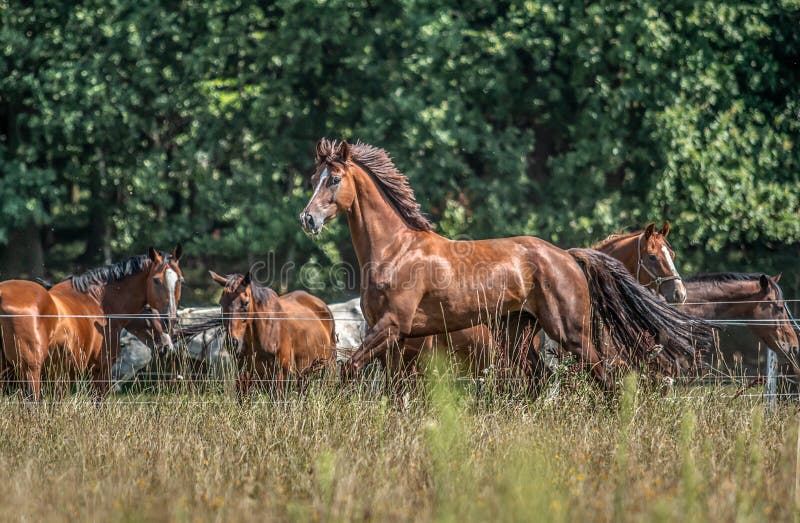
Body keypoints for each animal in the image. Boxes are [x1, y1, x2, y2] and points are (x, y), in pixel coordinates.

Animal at [0, 246, 183, 399]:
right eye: (156, 280)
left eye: (180, 280)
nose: (170, 323)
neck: (97, 301)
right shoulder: (100, 371)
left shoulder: (60, 377)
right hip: (30, 372)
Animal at [299, 139, 713, 387]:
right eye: (314, 177)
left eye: (334, 179)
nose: (308, 219)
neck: (396, 250)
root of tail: (567, 257)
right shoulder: (394, 340)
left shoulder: (391, 327)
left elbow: (349, 371)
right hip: (518, 333)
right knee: (539, 381)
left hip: (570, 332)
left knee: (602, 375)